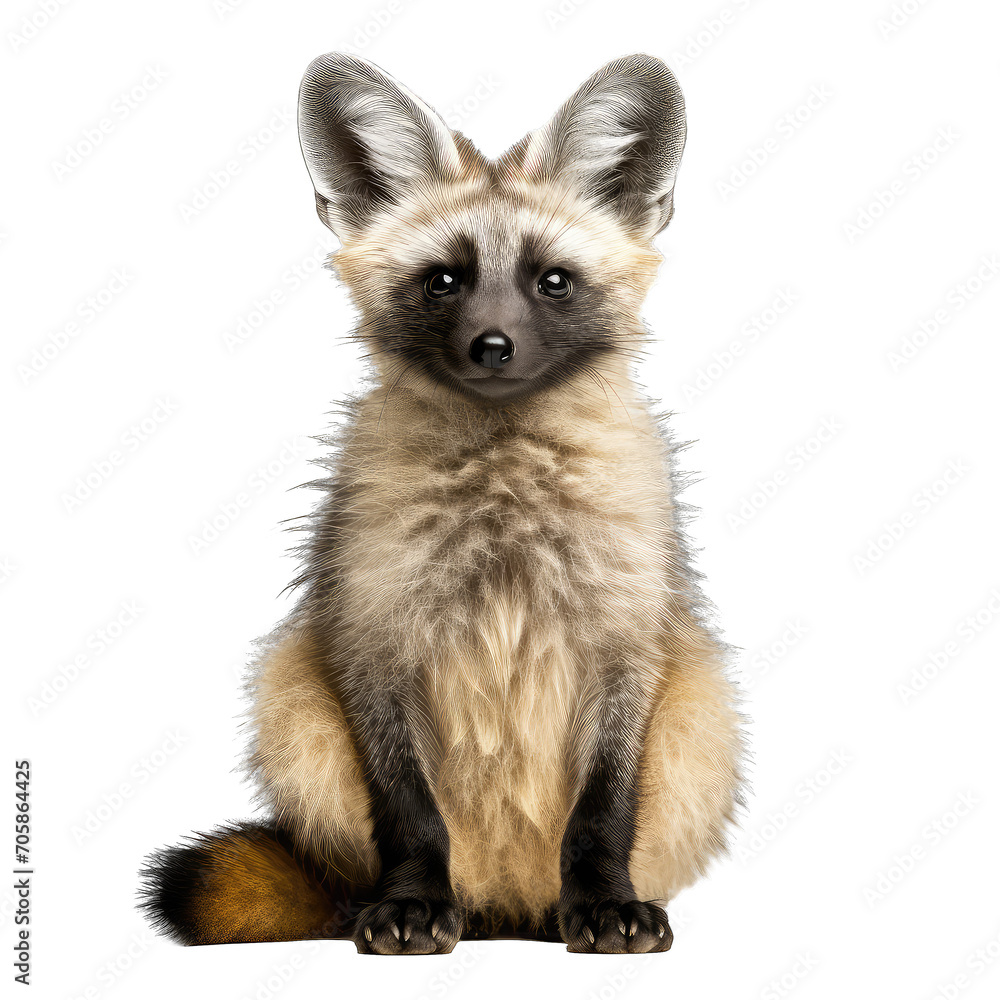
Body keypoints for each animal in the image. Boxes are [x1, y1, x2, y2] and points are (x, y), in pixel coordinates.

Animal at [139, 51, 746, 955]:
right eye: (444, 281)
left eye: (552, 281)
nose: (492, 347)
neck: (504, 499)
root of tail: (506, 909)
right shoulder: (373, 637)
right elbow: (411, 814)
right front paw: (413, 903)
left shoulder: (626, 644)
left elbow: (602, 814)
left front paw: (605, 903)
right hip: (289, 700)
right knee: (355, 884)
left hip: (703, 713)